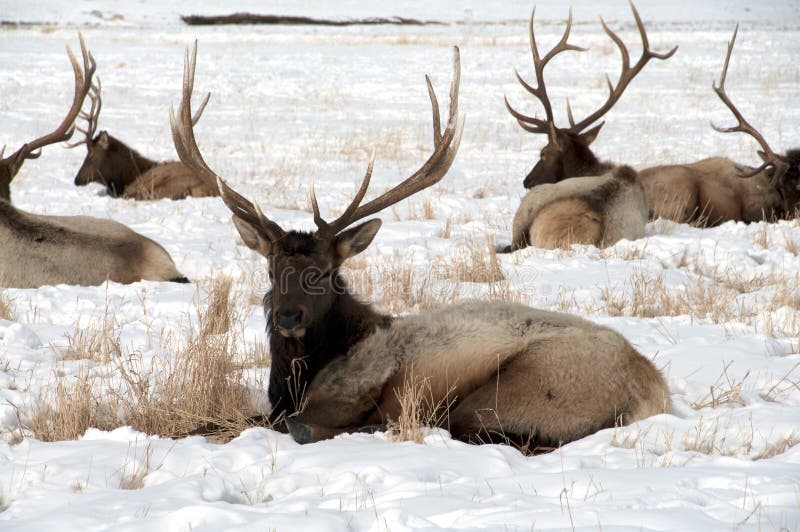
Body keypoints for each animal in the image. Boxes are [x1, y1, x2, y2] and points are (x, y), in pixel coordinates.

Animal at [171, 42, 671, 449]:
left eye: (325, 272)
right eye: (272, 269)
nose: (288, 316)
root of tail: (653, 393)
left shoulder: (346, 392)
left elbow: (283, 425)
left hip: (526, 386)